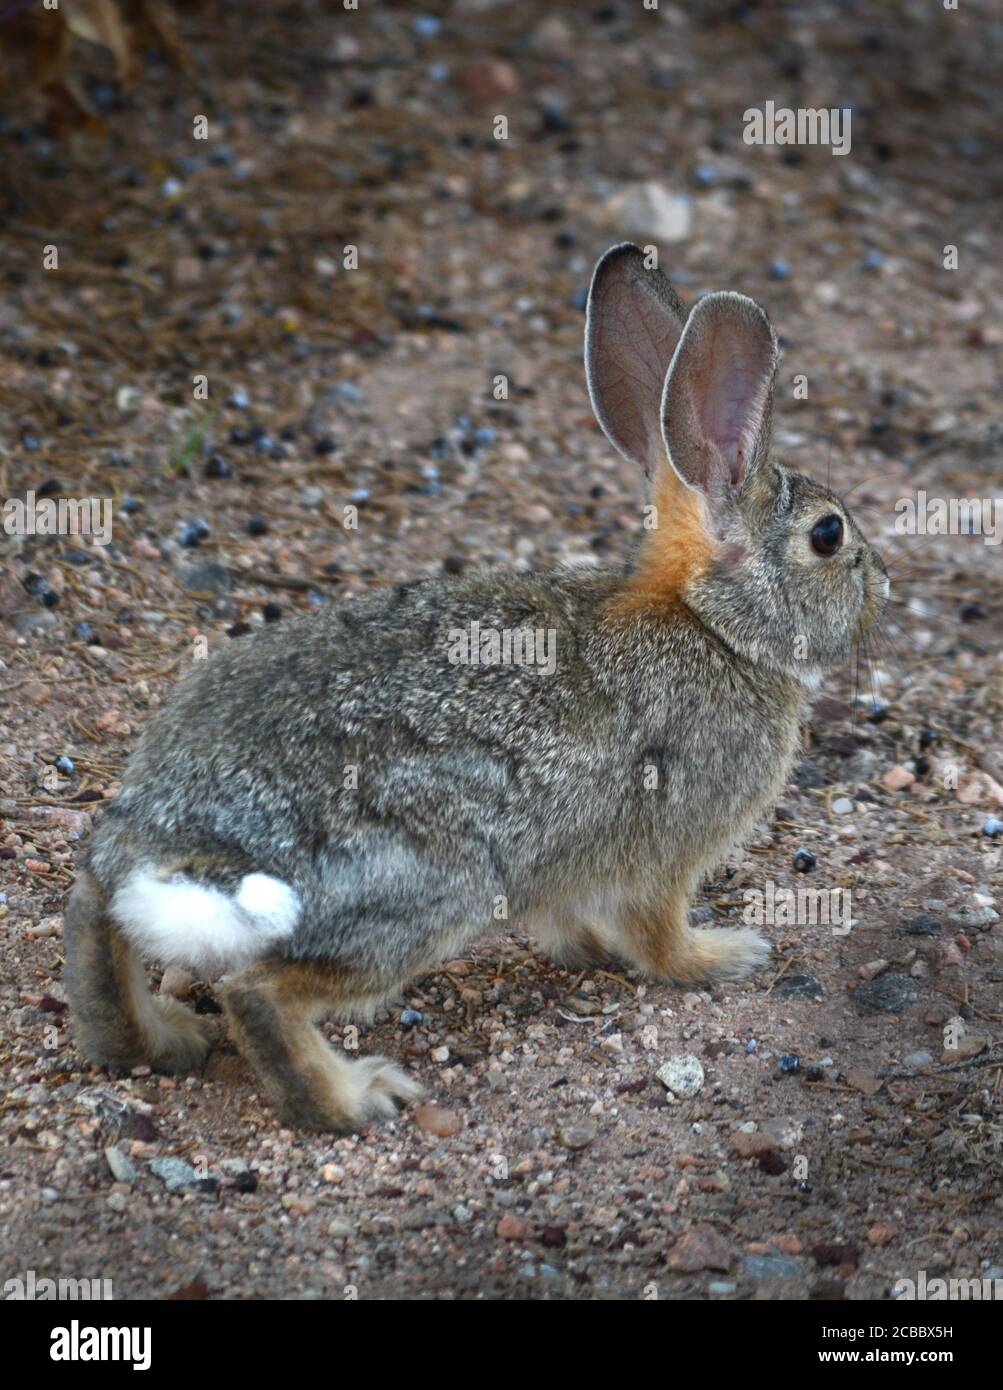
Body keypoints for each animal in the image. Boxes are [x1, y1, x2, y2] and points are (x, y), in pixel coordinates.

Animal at [64, 242, 889, 1132]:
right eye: (827, 535)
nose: (883, 581)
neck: (711, 622)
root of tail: (164, 845)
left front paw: (585, 949)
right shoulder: (669, 844)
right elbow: (657, 932)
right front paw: (720, 957)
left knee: (96, 928)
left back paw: (160, 1037)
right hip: (428, 890)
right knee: (259, 991)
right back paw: (356, 1096)